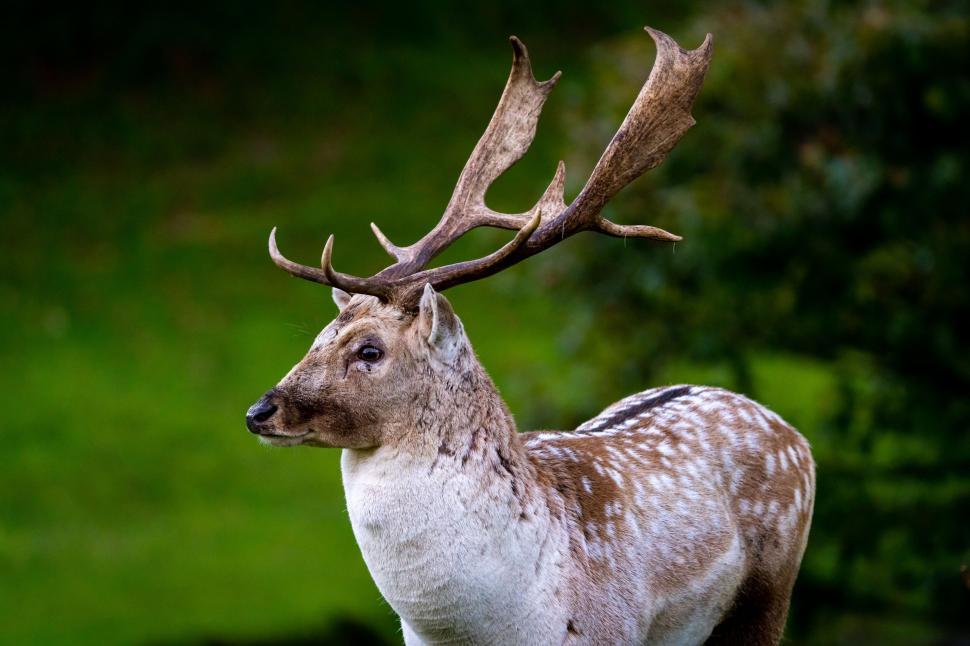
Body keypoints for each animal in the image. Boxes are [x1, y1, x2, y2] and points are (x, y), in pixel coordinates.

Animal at [246, 26, 815, 646]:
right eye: (318, 337)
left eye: (368, 350)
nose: (259, 411)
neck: (496, 625)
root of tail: (793, 435)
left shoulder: (612, 630)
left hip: (769, 594)